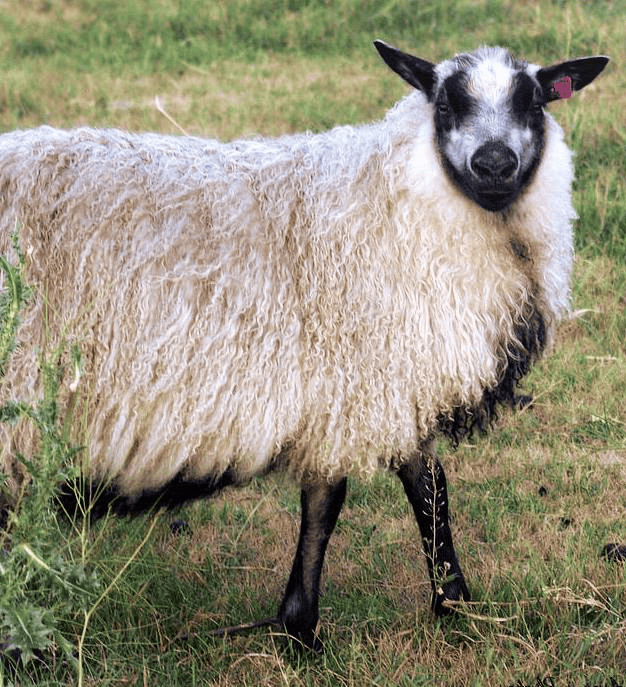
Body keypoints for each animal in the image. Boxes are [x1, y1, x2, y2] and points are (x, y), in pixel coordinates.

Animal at [0, 42, 608, 652]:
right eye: (444, 105)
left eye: (533, 102)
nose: (494, 164)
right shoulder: (357, 378)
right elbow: (331, 503)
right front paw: (302, 629)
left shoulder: (383, 383)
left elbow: (426, 488)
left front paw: (454, 605)